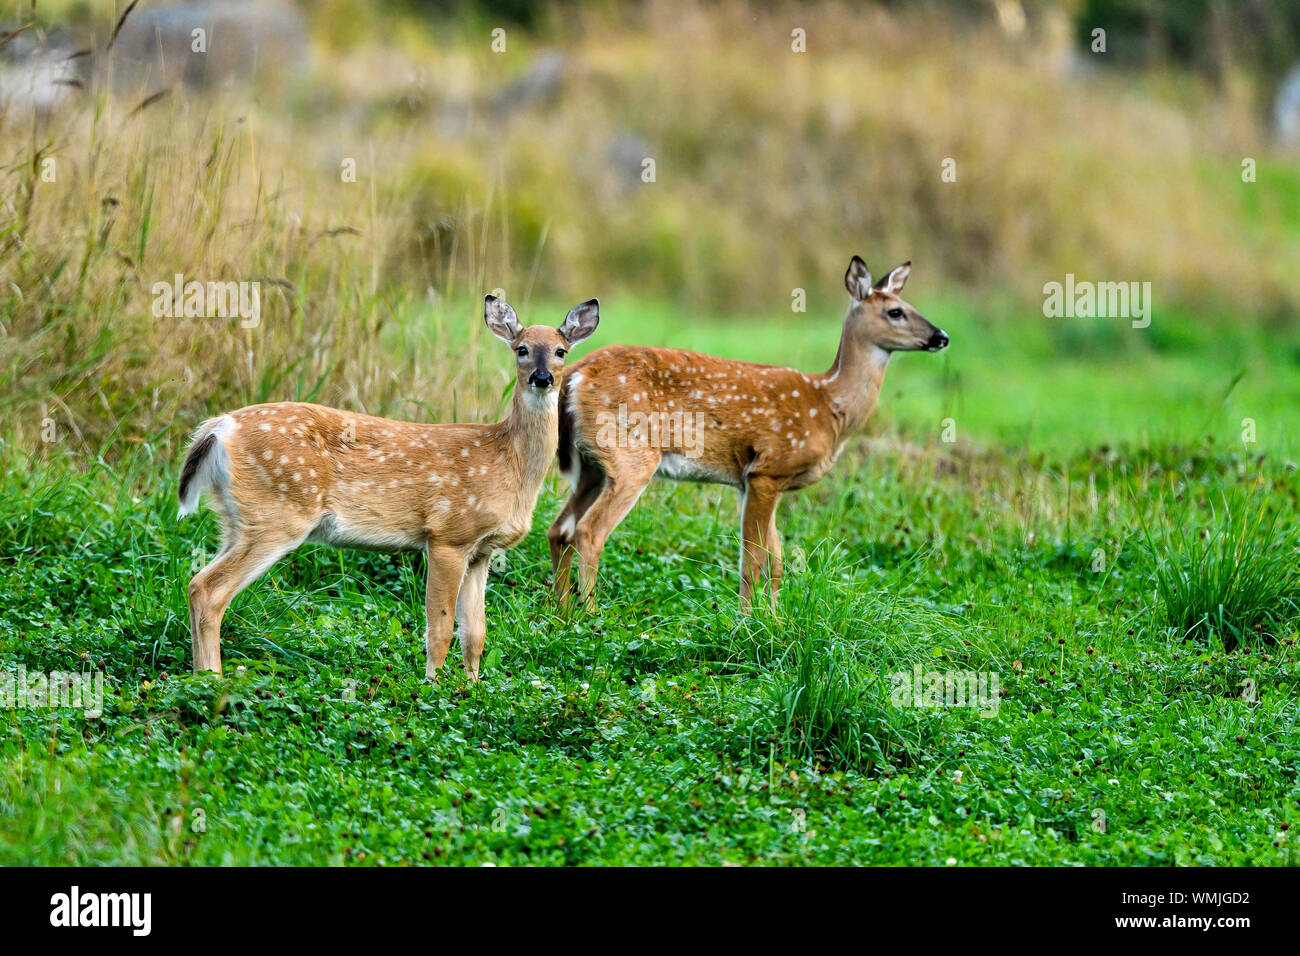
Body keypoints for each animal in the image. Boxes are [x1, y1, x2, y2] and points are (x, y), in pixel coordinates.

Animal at [178, 294, 600, 680]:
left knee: (197, 584)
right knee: (209, 590)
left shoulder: (482, 551)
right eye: (521, 349)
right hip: (277, 514)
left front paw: (472, 686)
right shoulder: (448, 534)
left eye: (561, 351)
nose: (542, 378)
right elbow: (440, 628)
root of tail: (217, 428)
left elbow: (475, 633)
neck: (509, 464)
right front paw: (435, 687)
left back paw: (201, 678)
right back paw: (210, 680)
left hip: (236, 519)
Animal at [547, 256, 947, 613]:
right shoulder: (766, 470)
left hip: (592, 466)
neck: (828, 404)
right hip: (630, 455)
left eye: (910, 306)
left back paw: (562, 610)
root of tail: (577, 373)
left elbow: (776, 560)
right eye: (895, 312)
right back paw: (591, 614)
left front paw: (774, 621)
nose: (941, 336)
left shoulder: (757, 482)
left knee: (559, 529)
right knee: (589, 531)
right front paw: (747, 622)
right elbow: (753, 560)